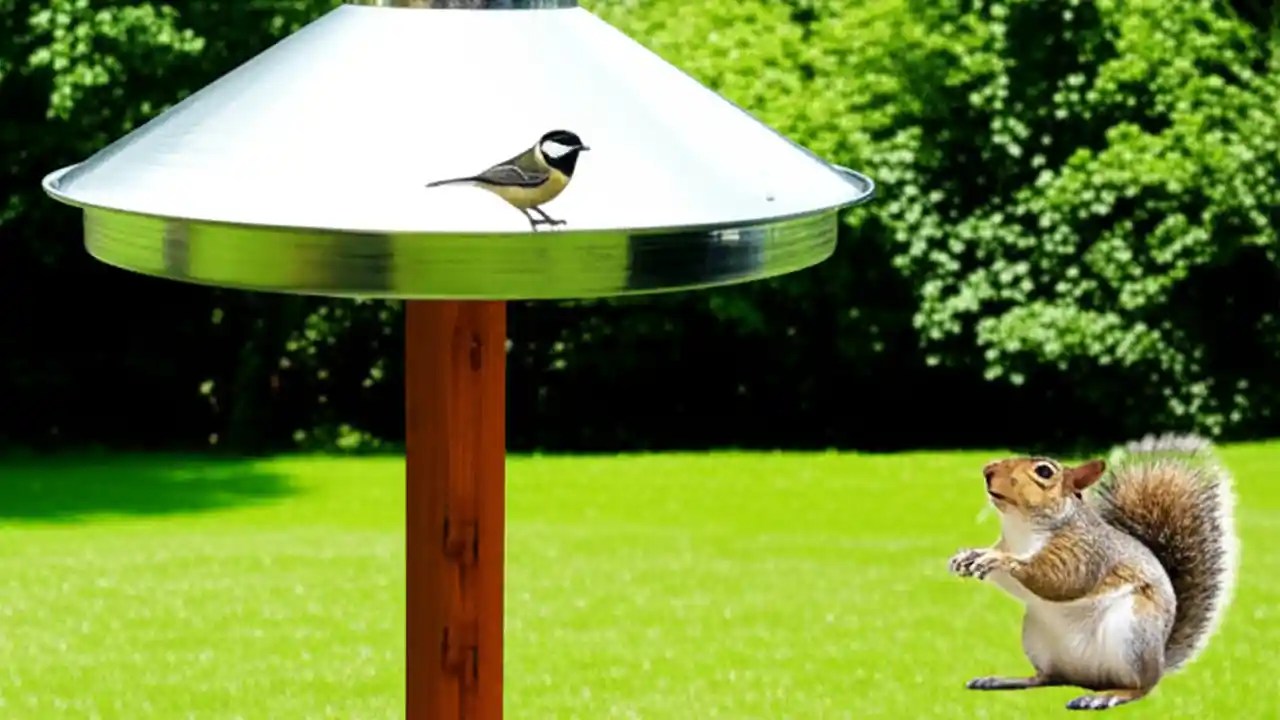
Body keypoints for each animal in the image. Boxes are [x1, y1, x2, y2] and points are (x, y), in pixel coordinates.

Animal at [947, 432, 1239, 711]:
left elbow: (1058, 578)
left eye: (1044, 472)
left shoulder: (1084, 552)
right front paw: (968, 556)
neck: (1021, 529)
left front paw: (998, 559)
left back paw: (1106, 697)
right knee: (1048, 677)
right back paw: (1003, 680)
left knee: (1140, 687)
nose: (987, 469)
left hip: (1134, 634)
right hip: (1037, 638)